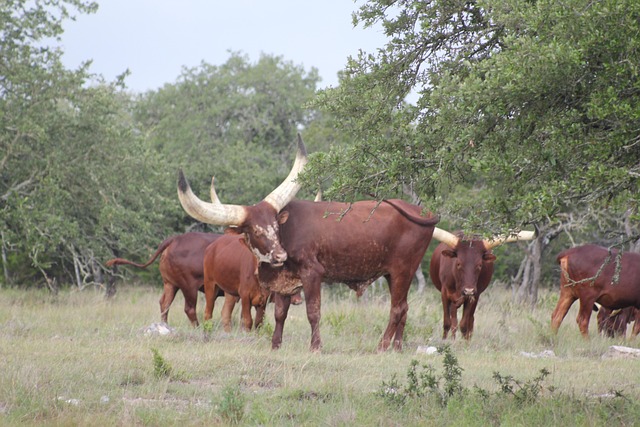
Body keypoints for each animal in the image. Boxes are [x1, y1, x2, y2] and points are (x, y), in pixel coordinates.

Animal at [177, 135, 440, 352]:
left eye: (275, 225)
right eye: (254, 230)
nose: (280, 256)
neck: (286, 236)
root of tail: (422, 211)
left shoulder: (313, 273)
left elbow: (313, 312)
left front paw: (315, 347)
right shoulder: (283, 282)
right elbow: (280, 313)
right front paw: (275, 345)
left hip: (403, 269)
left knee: (396, 308)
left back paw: (382, 346)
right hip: (393, 273)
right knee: (404, 307)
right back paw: (397, 347)